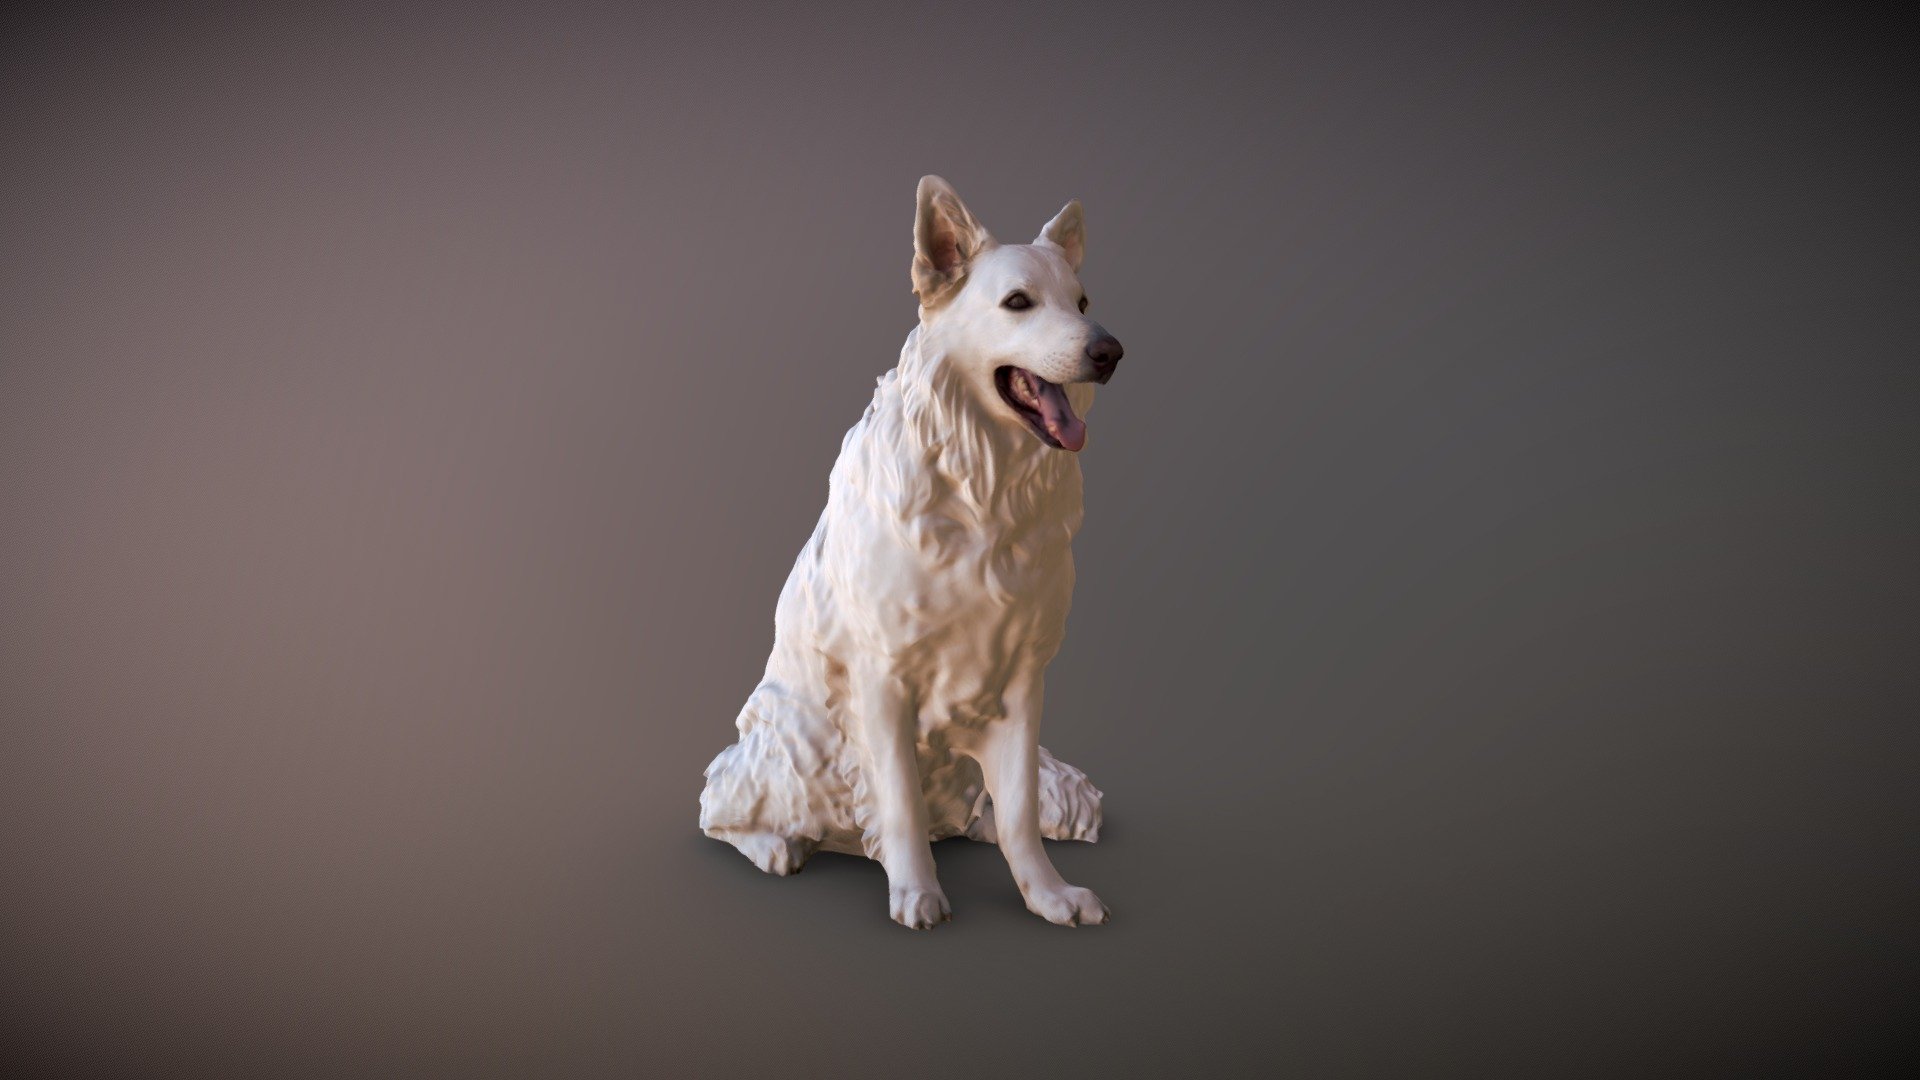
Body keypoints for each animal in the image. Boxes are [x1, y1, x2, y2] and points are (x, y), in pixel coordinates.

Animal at [698, 176, 1124, 928]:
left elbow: (1018, 809)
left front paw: (1047, 894)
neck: (984, 488)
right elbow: (897, 800)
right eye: (1018, 302)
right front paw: (918, 893)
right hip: (796, 737)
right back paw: (777, 845)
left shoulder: (1023, 678)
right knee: (716, 800)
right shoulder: (881, 676)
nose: (1111, 352)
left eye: (1081, 302)